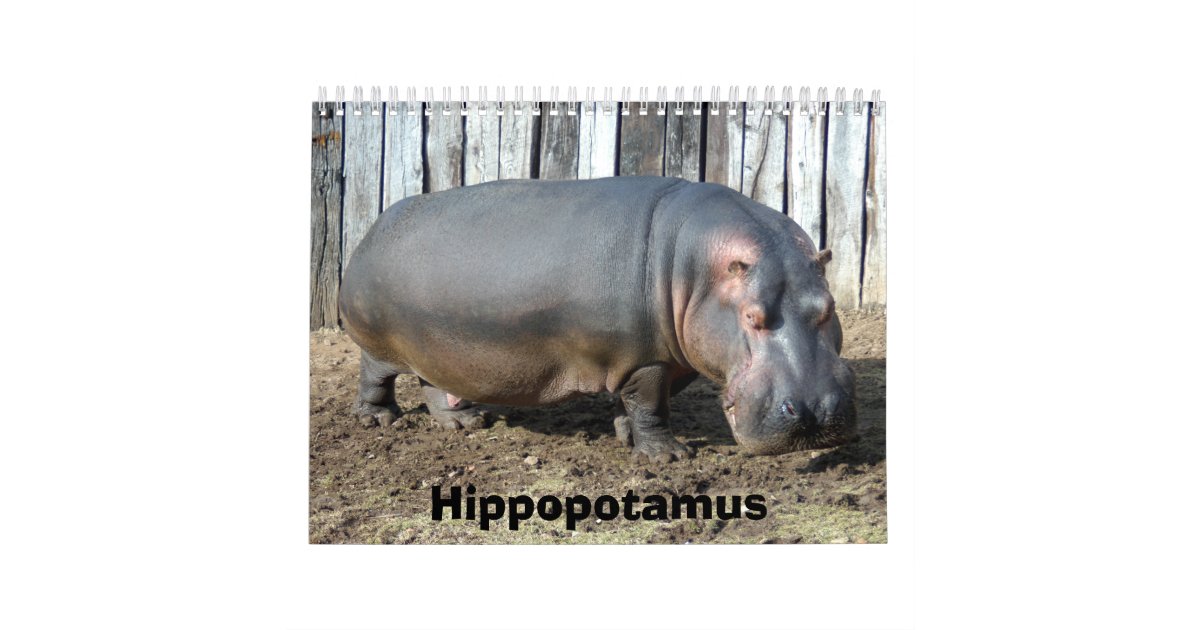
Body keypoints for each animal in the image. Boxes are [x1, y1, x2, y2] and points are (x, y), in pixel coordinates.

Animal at [338, 176, 856, 462]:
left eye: (829, 307)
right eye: (752, 316)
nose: (815, 413)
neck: (693, 267)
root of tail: (374, 226)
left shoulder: (667, 358)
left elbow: (643, 403)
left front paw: (627, 435)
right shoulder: (645, 359)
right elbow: (651, 404)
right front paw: (669, 456)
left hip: (435, 345)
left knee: (433, 382)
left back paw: (464, 423)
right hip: (379, 344)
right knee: (375, 376)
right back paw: (379, 421)